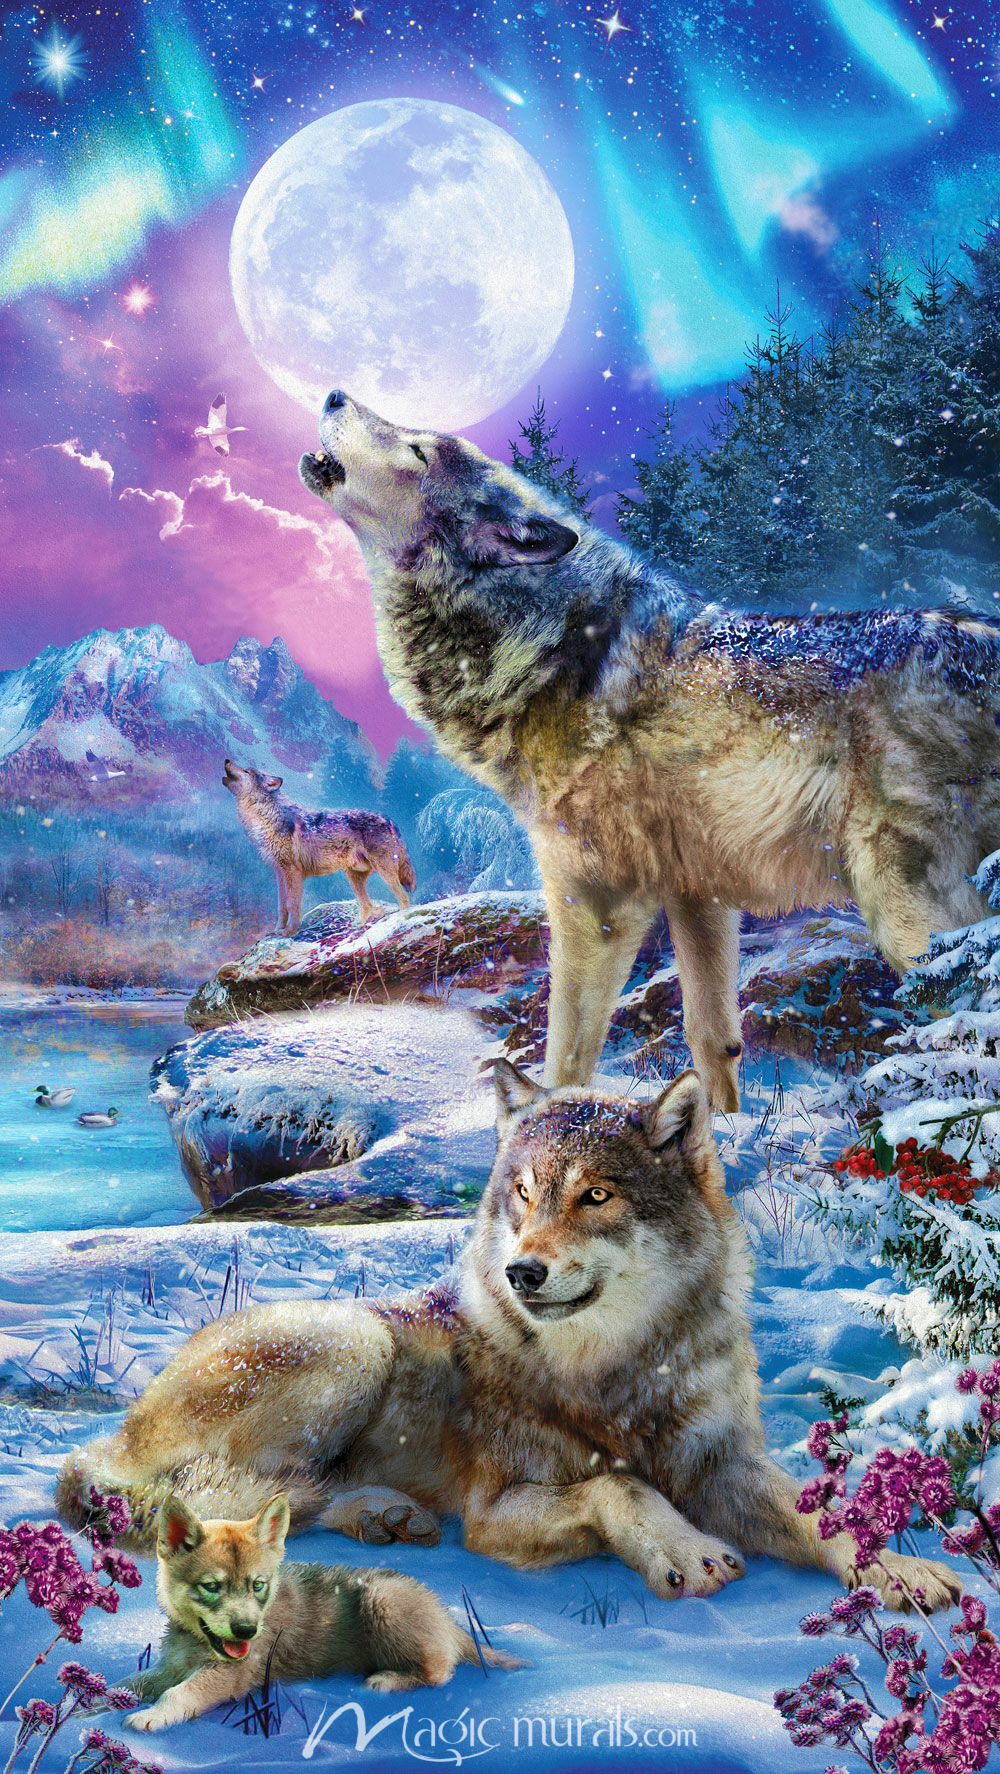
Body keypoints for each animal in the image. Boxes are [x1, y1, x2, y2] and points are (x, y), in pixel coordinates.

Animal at [58, 1065, 959, 1615]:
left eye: (595, 1195)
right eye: (522, 1194)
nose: (523, 1271)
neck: (622, 1372)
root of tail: (109, 1438)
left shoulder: (724, 1465)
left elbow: (827, 1517)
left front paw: (902, 1571)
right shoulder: (496, 1513)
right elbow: (620, 1486)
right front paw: (686, 1551)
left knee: (282, 1505)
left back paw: (384, 1515)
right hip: (354, 1341)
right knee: (229, 1503)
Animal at [125, 1492, 520, 1731]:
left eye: (258, 1585)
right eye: (211, 1587)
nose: (247, 1631)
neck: (197, 1642)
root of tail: (449, 1620)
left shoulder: (229, 1676)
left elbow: (180, 1693)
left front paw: (149, 1716)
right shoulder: (170, 1667)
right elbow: (135, 1682)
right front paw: (117, 1698)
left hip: (383, 1601)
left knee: (440, 1672)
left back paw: (386, 1680)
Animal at [222, 759, 416, 932]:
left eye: (246, 771)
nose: (226, 760)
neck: (264, 819)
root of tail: (390, 821)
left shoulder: (292, 871)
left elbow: (292, 904)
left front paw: (289, 931)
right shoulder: (279, 873)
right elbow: (281, 906)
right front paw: (277, 930)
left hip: (385, 873)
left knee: (404, 898)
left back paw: (399, 921)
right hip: (354, 877)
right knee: (368, 905)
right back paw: (356, 926)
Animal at [299, 391, 1000, 1110]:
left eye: (417, 451)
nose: (333, 394)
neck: (547, 646)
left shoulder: (595, 897)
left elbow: (566, 1054)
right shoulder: (699, 896)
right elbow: (712, 1039)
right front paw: (717, 1130)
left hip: (907, 918)